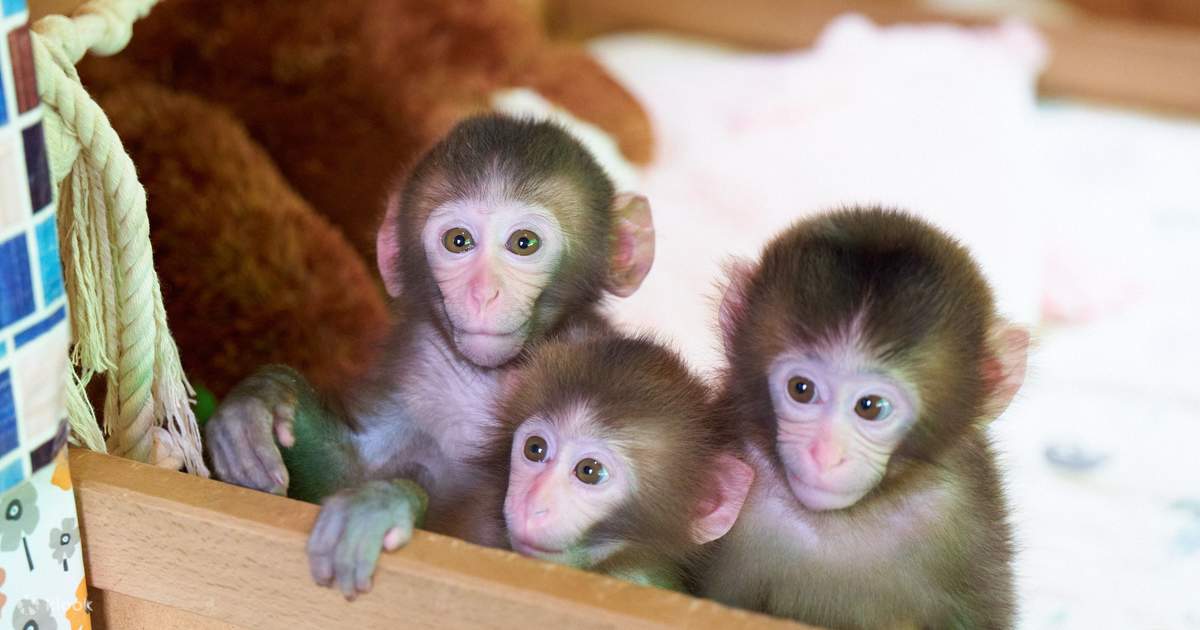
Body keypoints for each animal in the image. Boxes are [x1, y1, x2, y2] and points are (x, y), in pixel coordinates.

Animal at [203, 114, 656, 598]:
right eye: (458, 241)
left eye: (523, 243)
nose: (483, 294)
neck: (491, 379)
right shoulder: (416, 370)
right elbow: (345, 474)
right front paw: (263, 399)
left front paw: (385, 502)